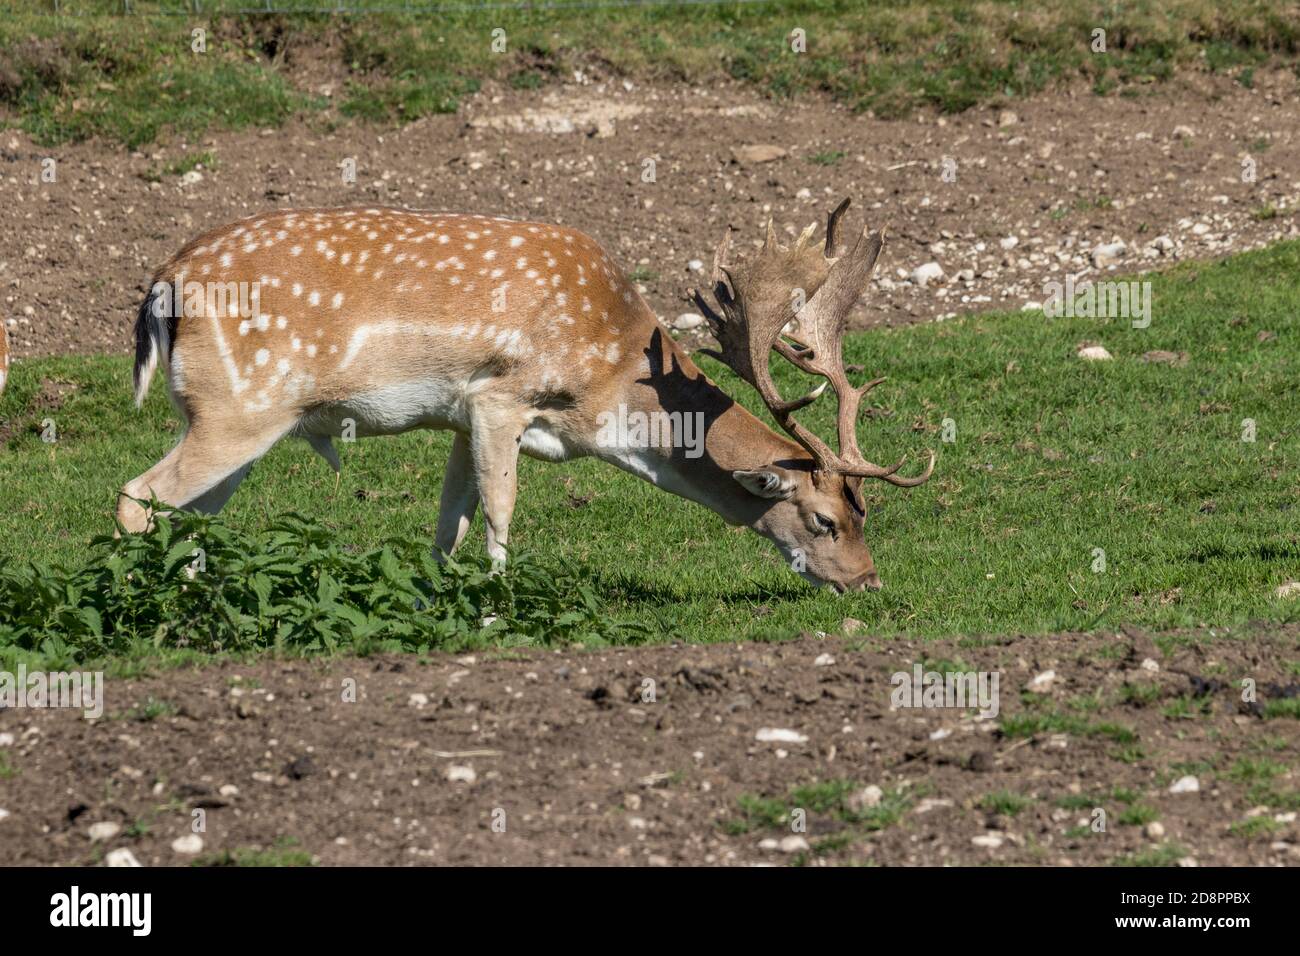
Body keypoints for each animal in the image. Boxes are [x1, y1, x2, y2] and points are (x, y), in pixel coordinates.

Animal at [122, 198, 933, 592]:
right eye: (826, 520)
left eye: (867, 516)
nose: (869, 583)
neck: (616, 392)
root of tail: (165, 280)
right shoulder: (500, 396)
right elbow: (501, 511)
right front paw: (497, 605)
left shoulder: (458, 417)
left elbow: (448, 524)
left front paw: (435, 601)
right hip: (238, 406)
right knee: (139, 495)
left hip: (236, 419)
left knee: (189, 514)